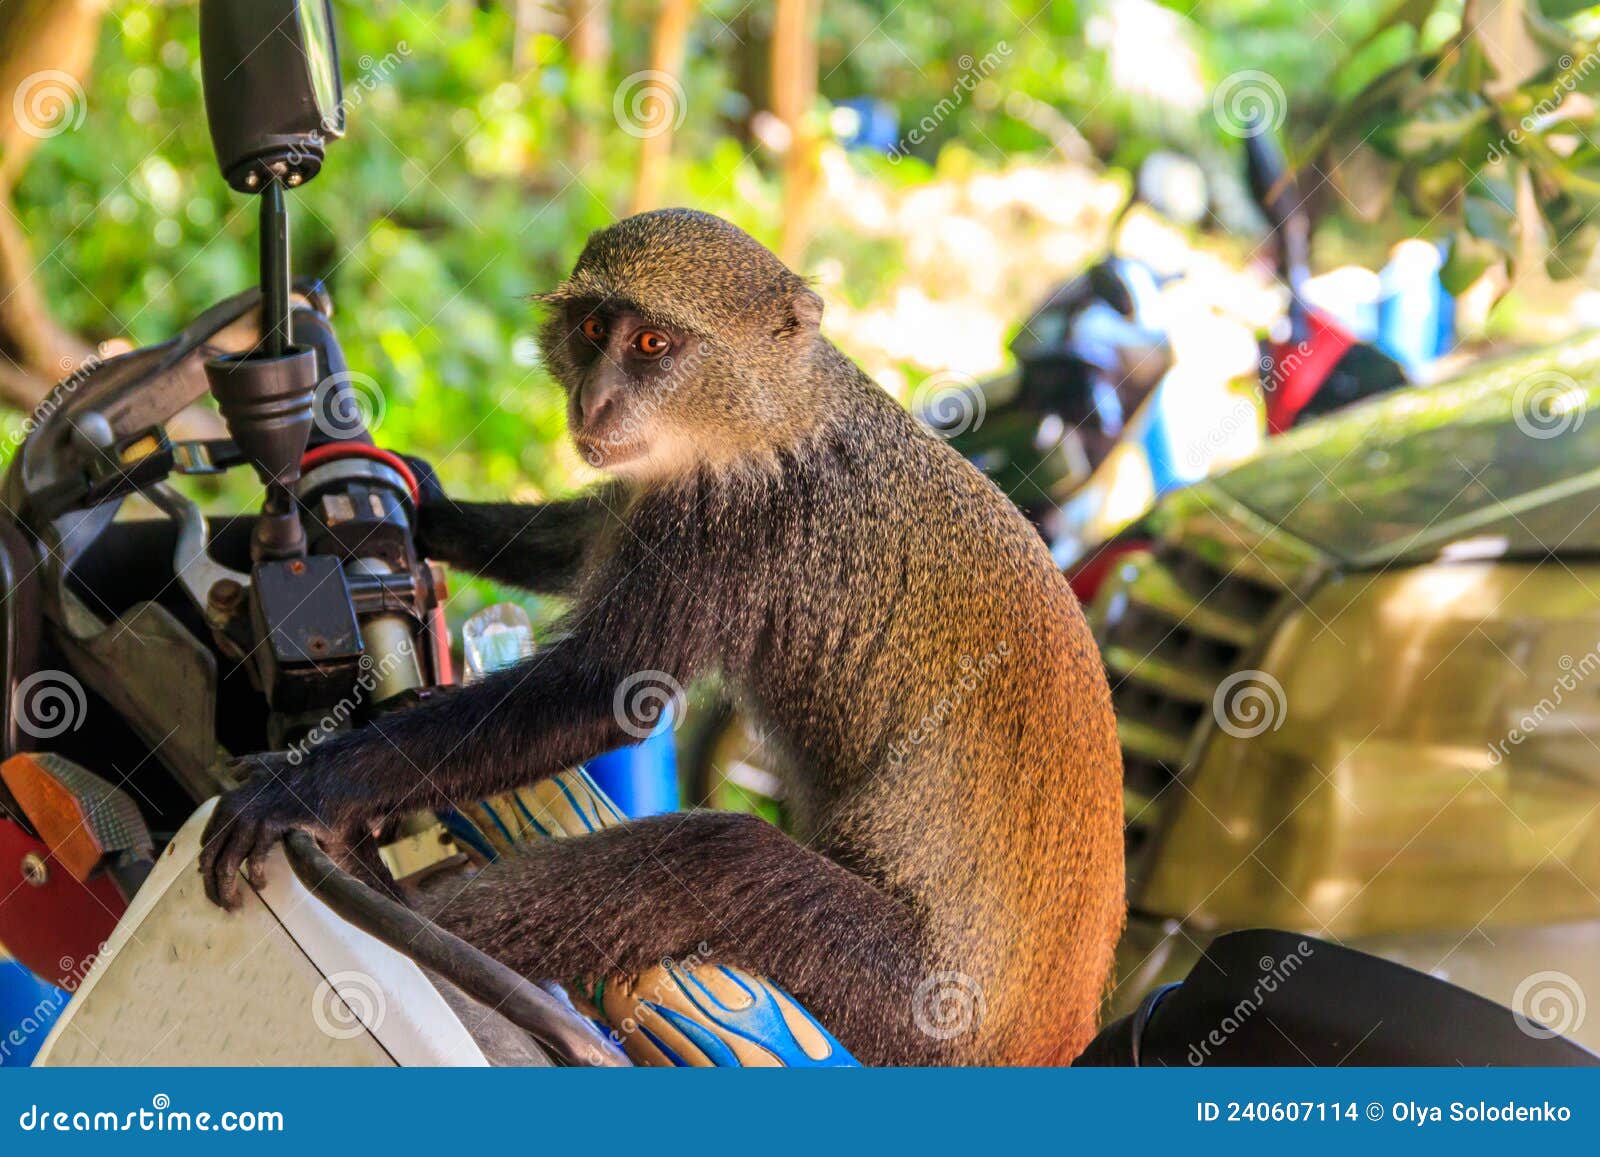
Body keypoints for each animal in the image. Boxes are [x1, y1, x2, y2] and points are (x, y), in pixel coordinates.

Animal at [199, 208, 1125, 1066]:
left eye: (650, 344)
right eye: (592, 331)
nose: (593, 400)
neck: (772, 410)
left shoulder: (731, 521)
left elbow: (602, 695)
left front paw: (308, 787)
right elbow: (586, 541)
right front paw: (423, 511)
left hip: (902, 1003)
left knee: (723, 855)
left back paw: (429, 930)